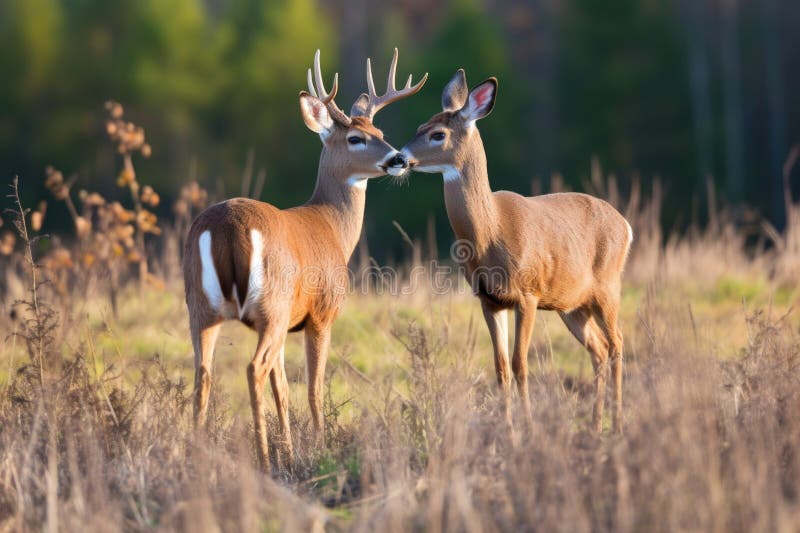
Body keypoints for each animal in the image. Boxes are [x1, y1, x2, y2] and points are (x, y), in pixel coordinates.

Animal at [183, 49, 427, 471]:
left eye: (379, 132)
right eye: (356, 138)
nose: (399, 159)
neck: (332, 226)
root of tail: (227, 227)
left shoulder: (287, 323)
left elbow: (283, 388)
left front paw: (293, 451)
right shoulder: (322, 313)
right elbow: (313, 387)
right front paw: (318, 447)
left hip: (201, 305)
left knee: (204, 374)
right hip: (271, 304)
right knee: (253, 368)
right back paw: (262, 460)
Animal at [391, 70, 632, 434]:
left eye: (437, 134)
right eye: (420, 126)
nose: (399, 159)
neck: (490, 232)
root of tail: (626, 225)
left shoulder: (528, 294)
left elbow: (520, 363)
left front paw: (529, 429)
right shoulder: (489, 300)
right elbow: (501, 366)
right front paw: (508, 431)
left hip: (607, 286)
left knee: (617, 343)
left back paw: (617, 425)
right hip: (572, 305)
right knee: (600, 349)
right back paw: (594, 427)